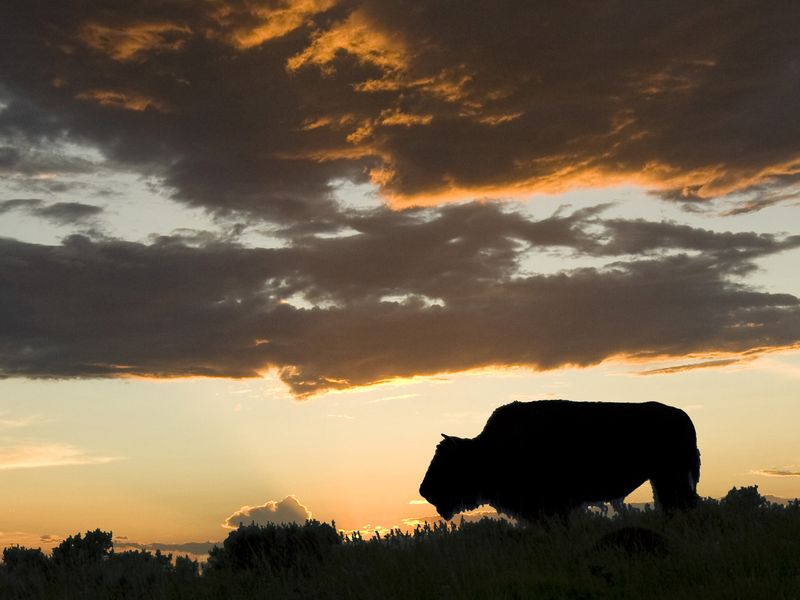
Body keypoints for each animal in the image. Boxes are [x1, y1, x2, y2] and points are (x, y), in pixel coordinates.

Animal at [419, 400, 700, 521]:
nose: (424, 490)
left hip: (671, 475)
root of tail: (683, 416)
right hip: (662, 478)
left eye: (447, 462)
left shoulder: (553, 504)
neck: (487, 449)